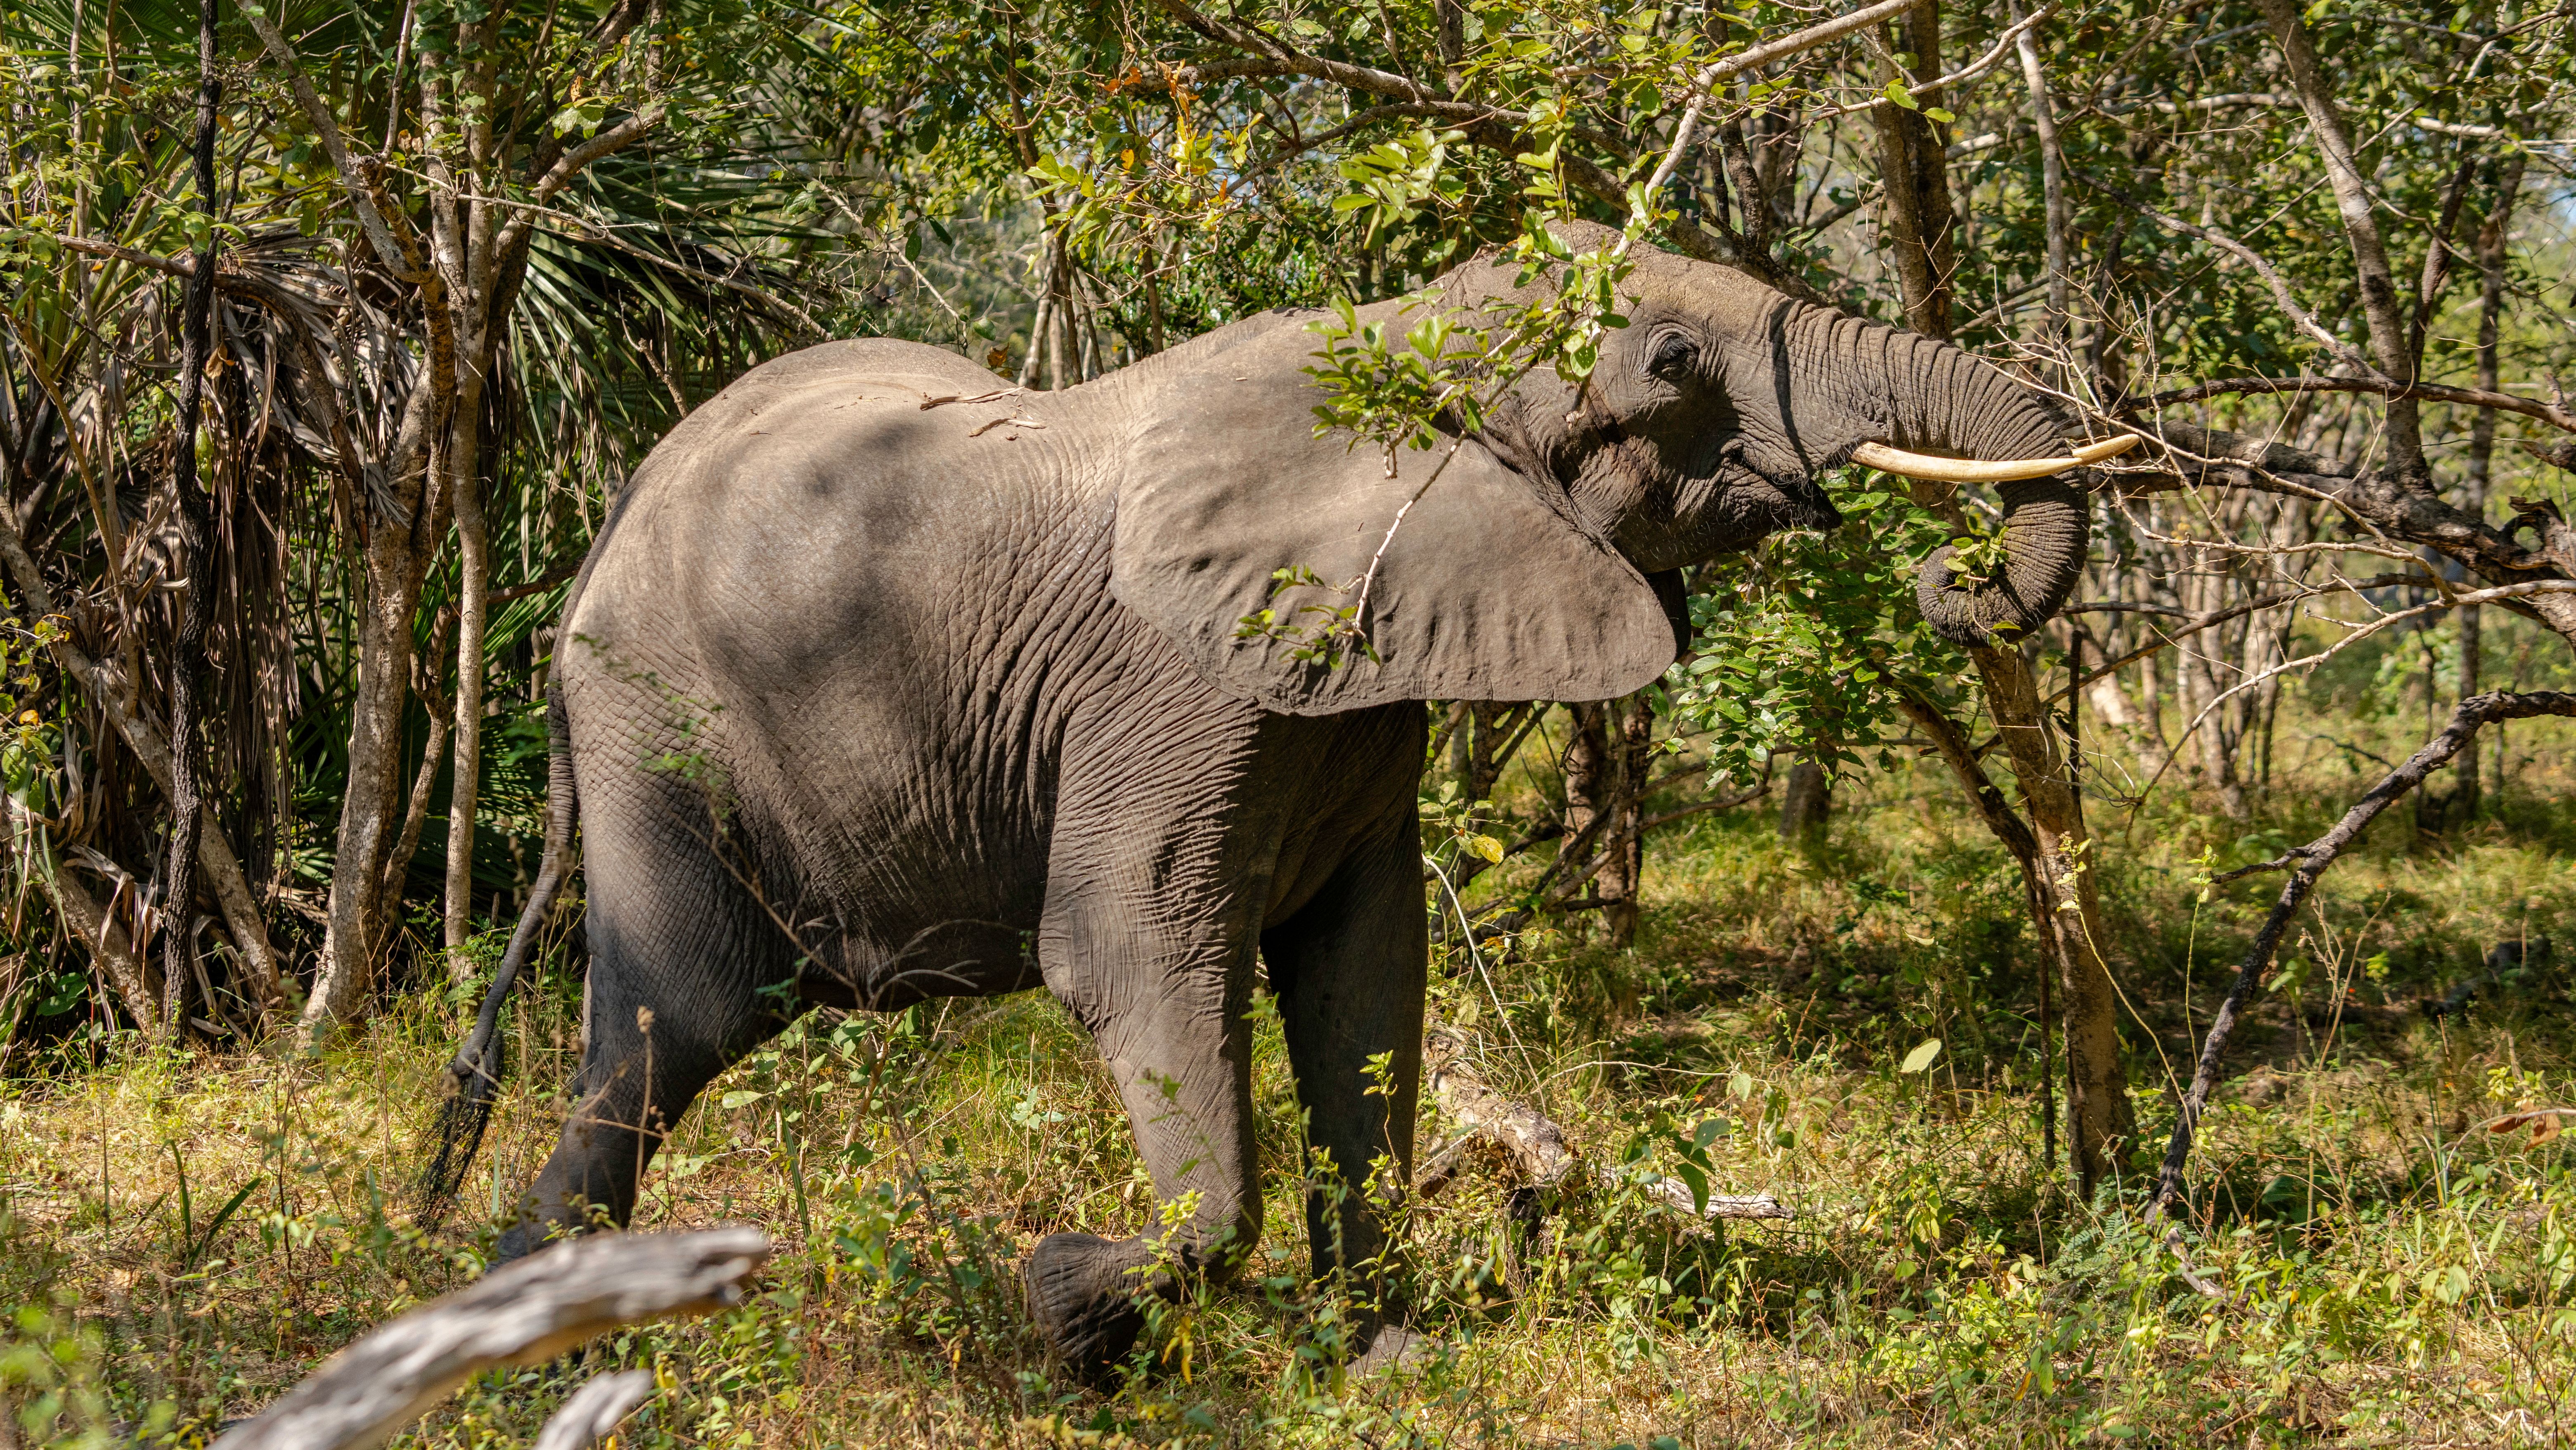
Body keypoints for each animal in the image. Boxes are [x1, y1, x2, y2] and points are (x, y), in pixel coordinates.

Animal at [426, 219, 2122, 1377]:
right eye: (1670, 364)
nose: (1954, 579)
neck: (1402, 339)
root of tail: (611, 513)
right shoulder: (1181, 684)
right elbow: (1132, 950)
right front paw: (1061, 1316)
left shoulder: (1358, 687)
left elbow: (1367, 971)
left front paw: (1382, 1365)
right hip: (658, 728)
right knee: (675, 1022)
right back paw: (520, 1345)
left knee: (670, 1037)